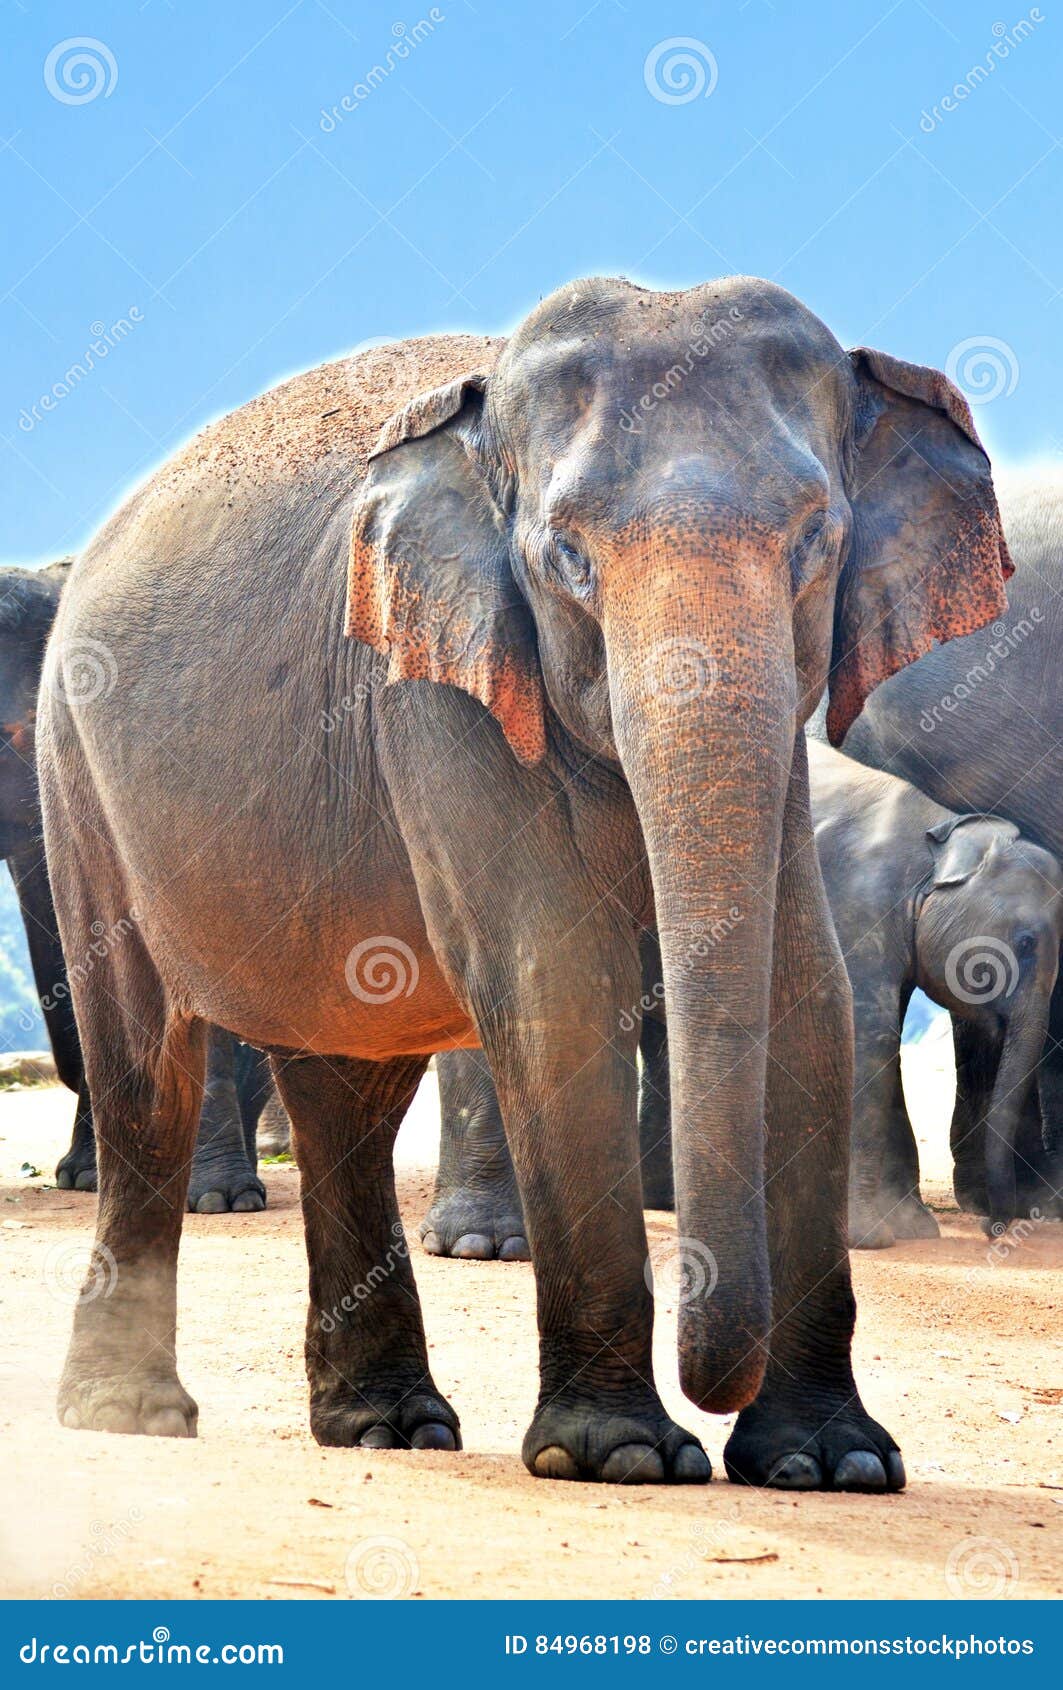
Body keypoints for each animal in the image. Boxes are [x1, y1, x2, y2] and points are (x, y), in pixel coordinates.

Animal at [37, 276, 1011, 1490]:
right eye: (566, 560)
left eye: (815, 542)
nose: (714, 1399)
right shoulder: (429, 684)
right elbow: (558, 984)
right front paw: (625, 1458)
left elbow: (807, 996)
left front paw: (829, 1465)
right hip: (76, 777)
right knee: (144, 1070)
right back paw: (130, 1413)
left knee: (348, 1090)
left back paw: (387, 1427)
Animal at [808, 739, 1063, 1246]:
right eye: (1025, 943)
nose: (993, 1228)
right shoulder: (856, 902)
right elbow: (869, 1032)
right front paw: (870, 1238)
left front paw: (912, 1228)